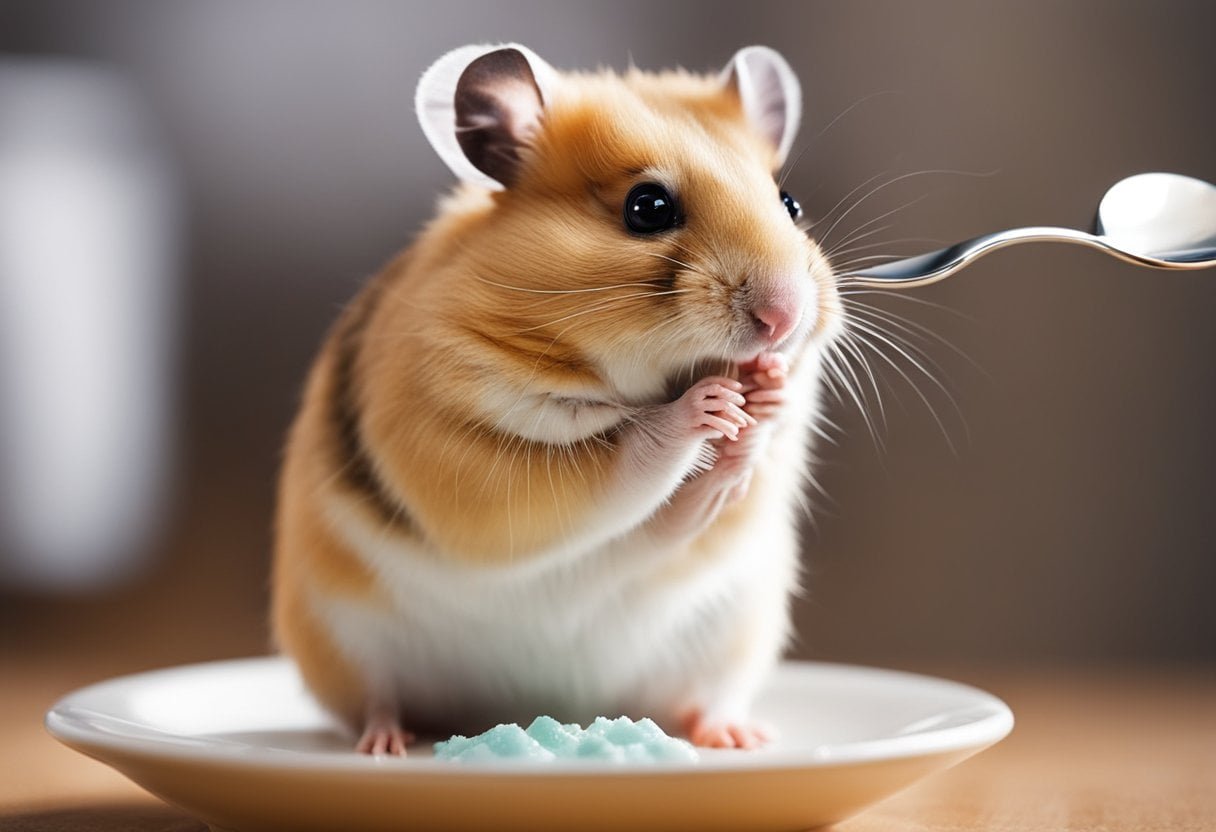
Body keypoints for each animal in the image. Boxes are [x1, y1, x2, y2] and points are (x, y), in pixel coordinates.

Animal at [271, 43, 842, 755]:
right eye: (647, 207)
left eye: (788, 202)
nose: (783, 317)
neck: (641, 380)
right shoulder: (461, 455)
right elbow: (624, 463)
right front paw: (711, 405)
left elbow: (689, 510)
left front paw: (761, 399)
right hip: (343, 637)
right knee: (375, 700)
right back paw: (386, 744)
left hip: (728, 641)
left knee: (704, 699)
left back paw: (738, 738)